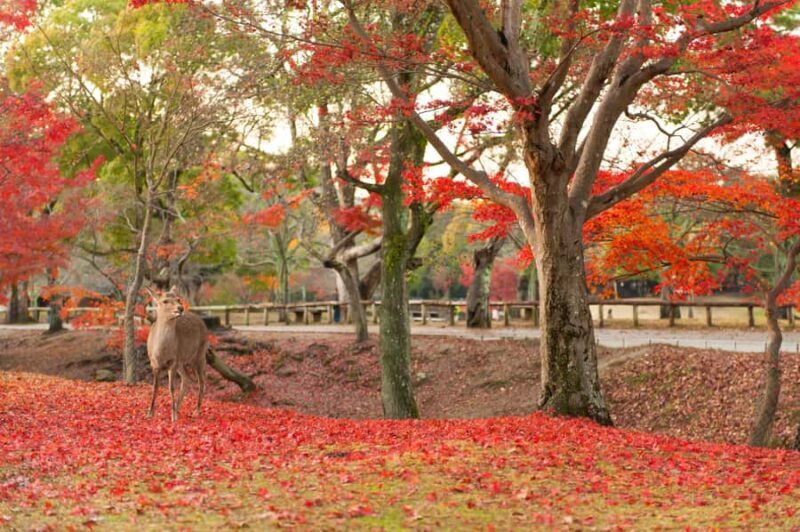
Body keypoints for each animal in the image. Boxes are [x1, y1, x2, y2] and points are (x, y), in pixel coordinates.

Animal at [145, 286, 207, 422]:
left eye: (178, 299)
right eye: (164, 301)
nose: (180, 308)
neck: (161, 351)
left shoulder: (172, 362)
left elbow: (171, 387)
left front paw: (173, 417)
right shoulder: (154, 364)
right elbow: (154, 387)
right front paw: (149, 414)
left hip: (199, 355)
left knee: (201, 381)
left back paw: (196, 411)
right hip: (182, 362)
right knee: (187, 378)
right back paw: (178, 409)